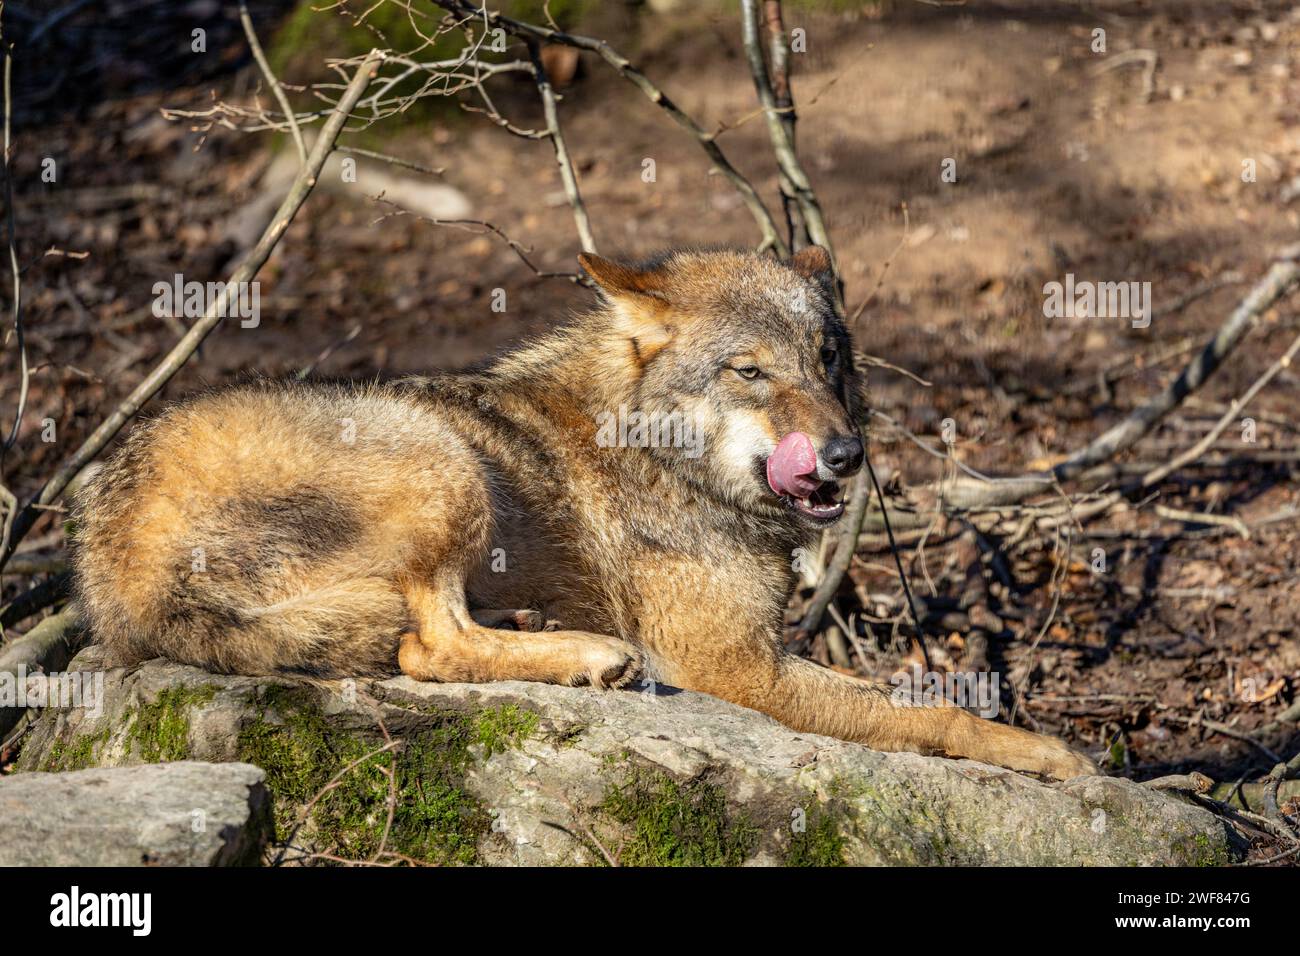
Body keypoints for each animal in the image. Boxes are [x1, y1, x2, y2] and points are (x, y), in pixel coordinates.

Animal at [73, 246, 1096, 779]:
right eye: (750, 371)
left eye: (828, 357)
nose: (846, 454)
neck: (665, 459)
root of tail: (113, 555)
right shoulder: (734, 666)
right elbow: (927, 714)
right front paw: (1045, 751)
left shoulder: (762, 650)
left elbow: (908, 696)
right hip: (440, 461)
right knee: (426, 647)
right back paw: (587, 656)